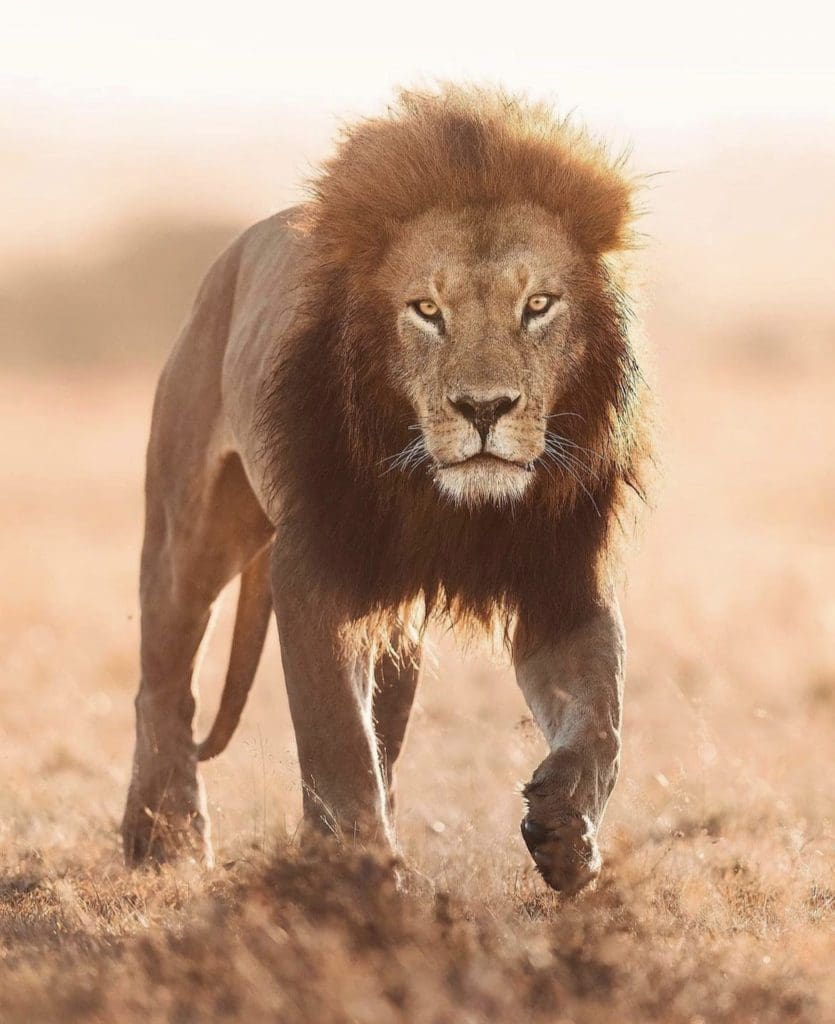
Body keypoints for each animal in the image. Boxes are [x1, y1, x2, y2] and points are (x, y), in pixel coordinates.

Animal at [122, 85, 652, 895]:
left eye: (538, 305)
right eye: (426, 311)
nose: (484, 408)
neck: (450, 502)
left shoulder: (562, 579)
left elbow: (602, 718)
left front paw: (568, 831)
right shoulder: (312, 567)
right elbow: (336, 735)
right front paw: (367, 875)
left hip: (397, 621)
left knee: (389, 724)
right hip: (194, 530)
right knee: (165, 682)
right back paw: (165, 838)